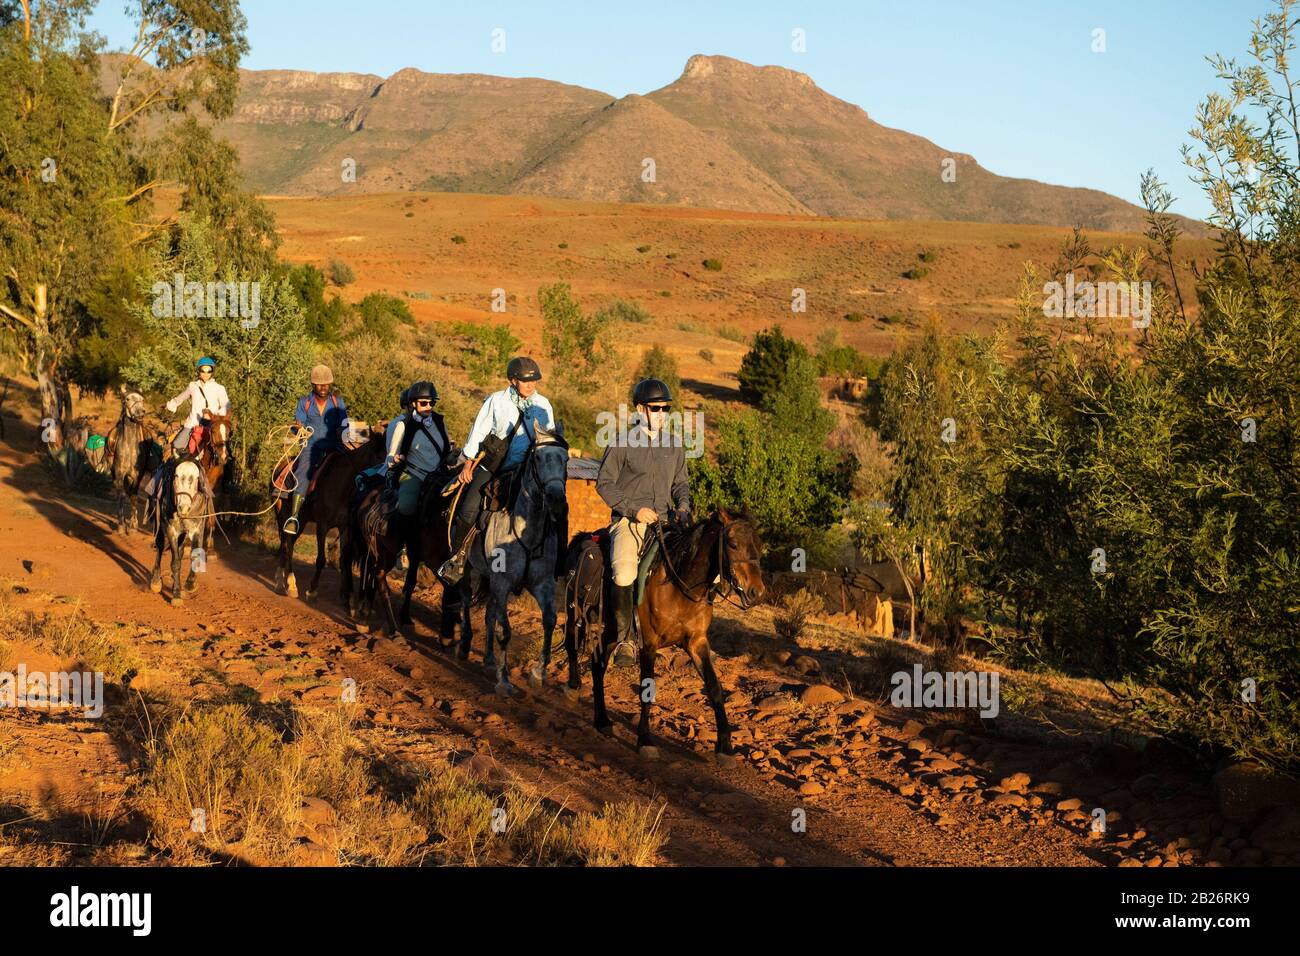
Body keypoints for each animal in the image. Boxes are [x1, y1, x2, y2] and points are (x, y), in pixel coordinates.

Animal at [149, 458, 209, 606]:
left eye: (197, 478)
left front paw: (190, 584)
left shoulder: (198, 528)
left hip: (183, 534)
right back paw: (156, 581)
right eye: (176, 476)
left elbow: (196, 554)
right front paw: (176, 595)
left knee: (180, 551)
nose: (184, 508)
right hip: (160, 527)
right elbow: (175, 562)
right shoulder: (171, 530)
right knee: (160, 547)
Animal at [273, 429, 385, 600]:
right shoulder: (322, 525)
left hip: (301, 521)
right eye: (378, 456)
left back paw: (284, 581)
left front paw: (348, 596)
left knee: (287, 544)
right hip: (284, 516)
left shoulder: (344, 527)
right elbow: (321, 559)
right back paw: (288, 583)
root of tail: (281, 467)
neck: (342, 485)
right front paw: (312, 590)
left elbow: (344, 559)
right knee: (287, 546)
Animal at [456, 424, 568, 697]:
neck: (526, 531)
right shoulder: (502, 583)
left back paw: (488, 661)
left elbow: (549, 620)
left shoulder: (541, 584)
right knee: (466, 600)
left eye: (565, 460)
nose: (556, 499)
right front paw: (504, 680)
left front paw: (538, 673)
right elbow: (505, 631)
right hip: (472, 572)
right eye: (538, 458)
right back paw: (464, 643)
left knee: (488, 615)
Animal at [561, 508, 765, 764]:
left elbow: (715, 688)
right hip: (575, 613)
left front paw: (725, 747)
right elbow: (646, 690)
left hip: (611, 630)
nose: (756, 592)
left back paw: (603, 721)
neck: (680, 585)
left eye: (758, 545)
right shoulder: (649, 643)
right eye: (733, 544)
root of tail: (581, 538)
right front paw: (645, 740)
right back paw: (573, 689)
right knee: (571, 646)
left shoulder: (697, 642)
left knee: (598, 667)